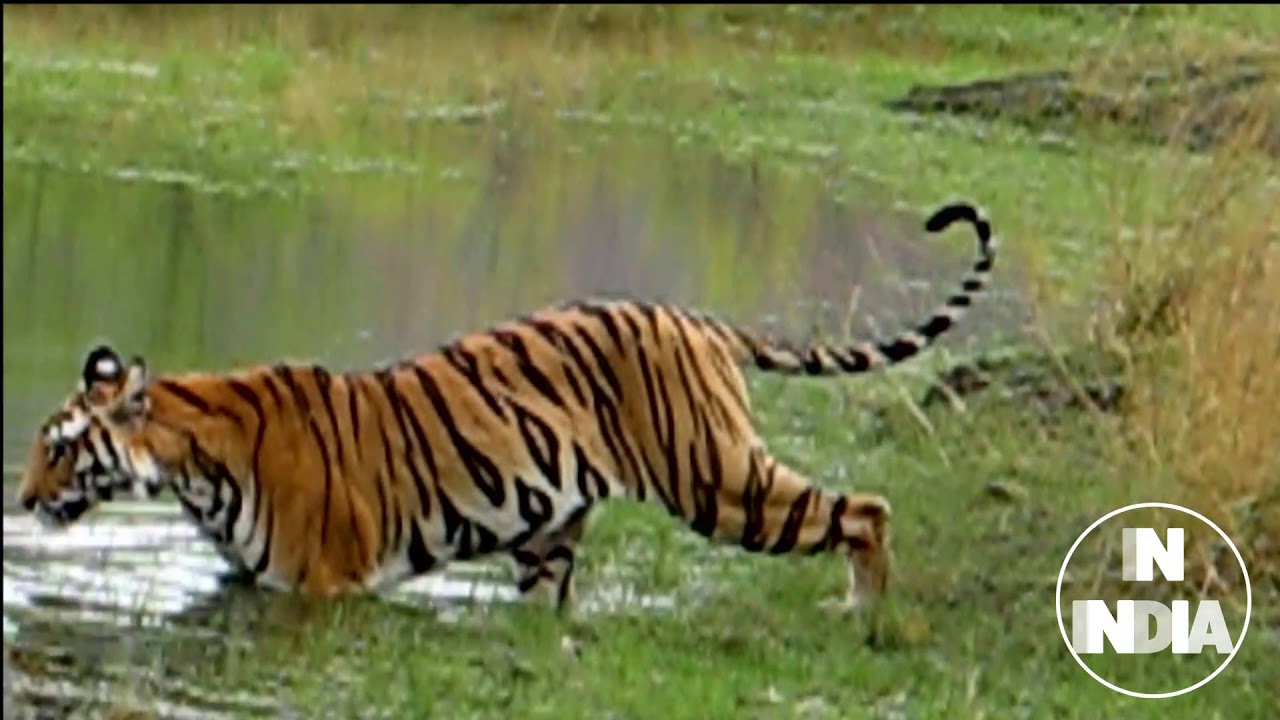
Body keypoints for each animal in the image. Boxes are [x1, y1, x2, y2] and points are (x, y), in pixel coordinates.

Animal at [16, 201, 997, 613]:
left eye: (60, 448)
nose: (20, 501)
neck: (192, 471)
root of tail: (698, 319)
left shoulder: (322, 586)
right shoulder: (248, 583)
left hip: (718, 481)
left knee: (864, 509)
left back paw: (863, 615)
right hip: (550, 534)